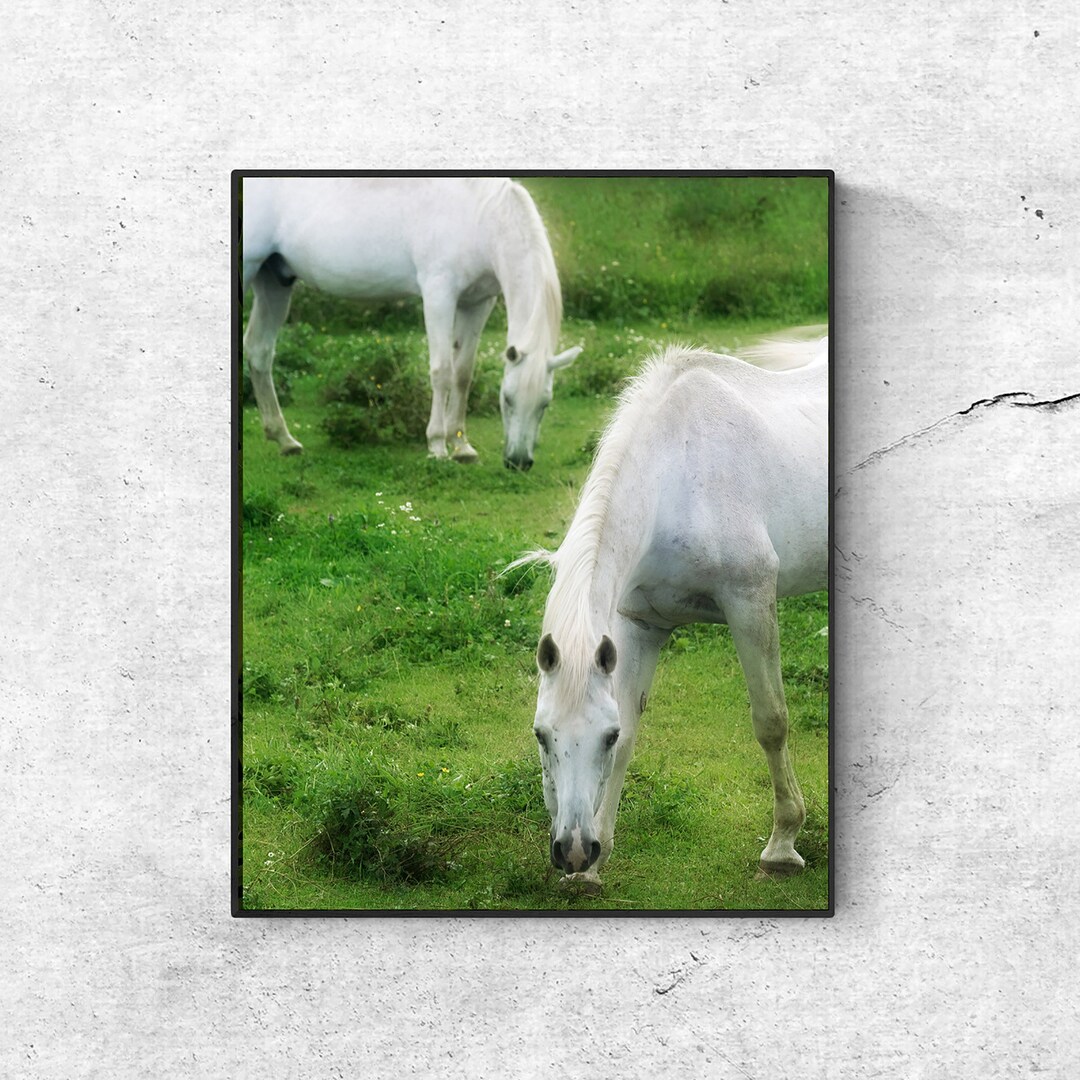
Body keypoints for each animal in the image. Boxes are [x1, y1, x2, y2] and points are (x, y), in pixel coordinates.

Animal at [241, 176, 582, 469]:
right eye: (507, 399)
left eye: (545, 404)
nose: (518, 462)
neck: (479, 218)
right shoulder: (438, 296)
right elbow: (442, 371)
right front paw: (437, 446)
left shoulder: (477, 303)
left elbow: (462, 374)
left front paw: (461, 446)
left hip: (274, 282)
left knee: (259, 351)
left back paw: (285, 440)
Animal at [511, 335, 828, 890]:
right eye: (541, 735)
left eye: (604, 735)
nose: (574, 851)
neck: (677, 479)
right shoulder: (640, 626)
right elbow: (633, 737)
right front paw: (596, 867)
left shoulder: (751, 601)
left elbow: (771, 721)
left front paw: (782, 845)